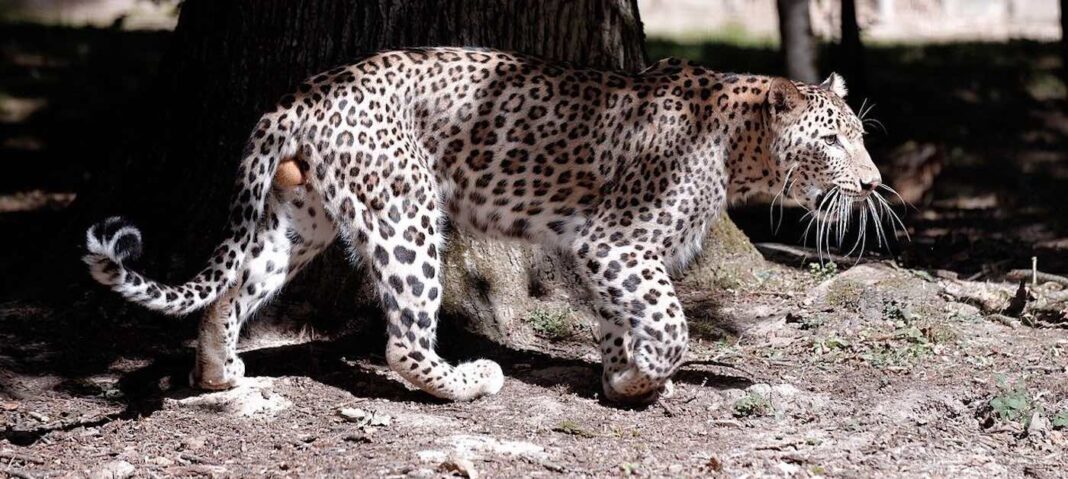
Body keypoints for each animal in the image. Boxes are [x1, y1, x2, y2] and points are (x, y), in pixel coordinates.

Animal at [84, 47, 883, 404]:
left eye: (859, 136)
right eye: (832, 140)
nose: (876, 183)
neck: (740, 146)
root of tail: (304, 93)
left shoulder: (595, 251)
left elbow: (622, 320)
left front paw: (616, 373)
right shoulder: (616, 240)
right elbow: (672, 323)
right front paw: (637, 381)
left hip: (299, 217)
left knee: (228, 292)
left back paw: (220, 373)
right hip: (406, 212)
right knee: (404, 341)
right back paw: (467, 380)